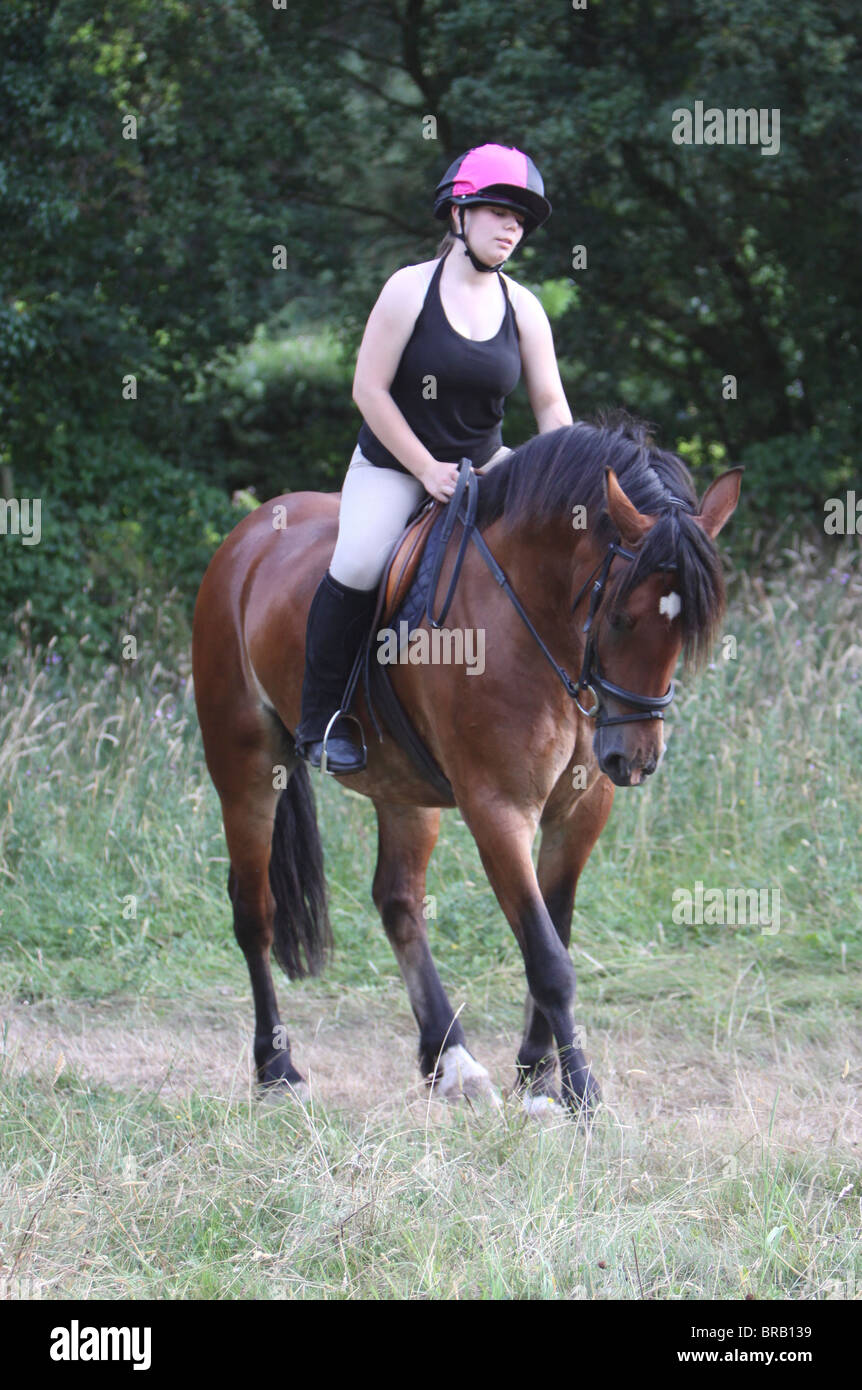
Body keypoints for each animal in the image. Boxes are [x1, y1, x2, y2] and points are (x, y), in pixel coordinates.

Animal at [191, 418, 741, 1115]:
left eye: (687, 630)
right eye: (622, 617)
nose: (634, 760)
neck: (538, 623)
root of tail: (250, 533)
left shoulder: (580, 810)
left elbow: (553, 932)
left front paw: (537, 1075)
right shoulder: (498, 808)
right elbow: (549, 959)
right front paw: (581, 1094)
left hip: (402, 786)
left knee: (398, 901)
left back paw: (449, 1059)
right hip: (246, 767)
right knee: (254, 912)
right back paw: (277, 1069)